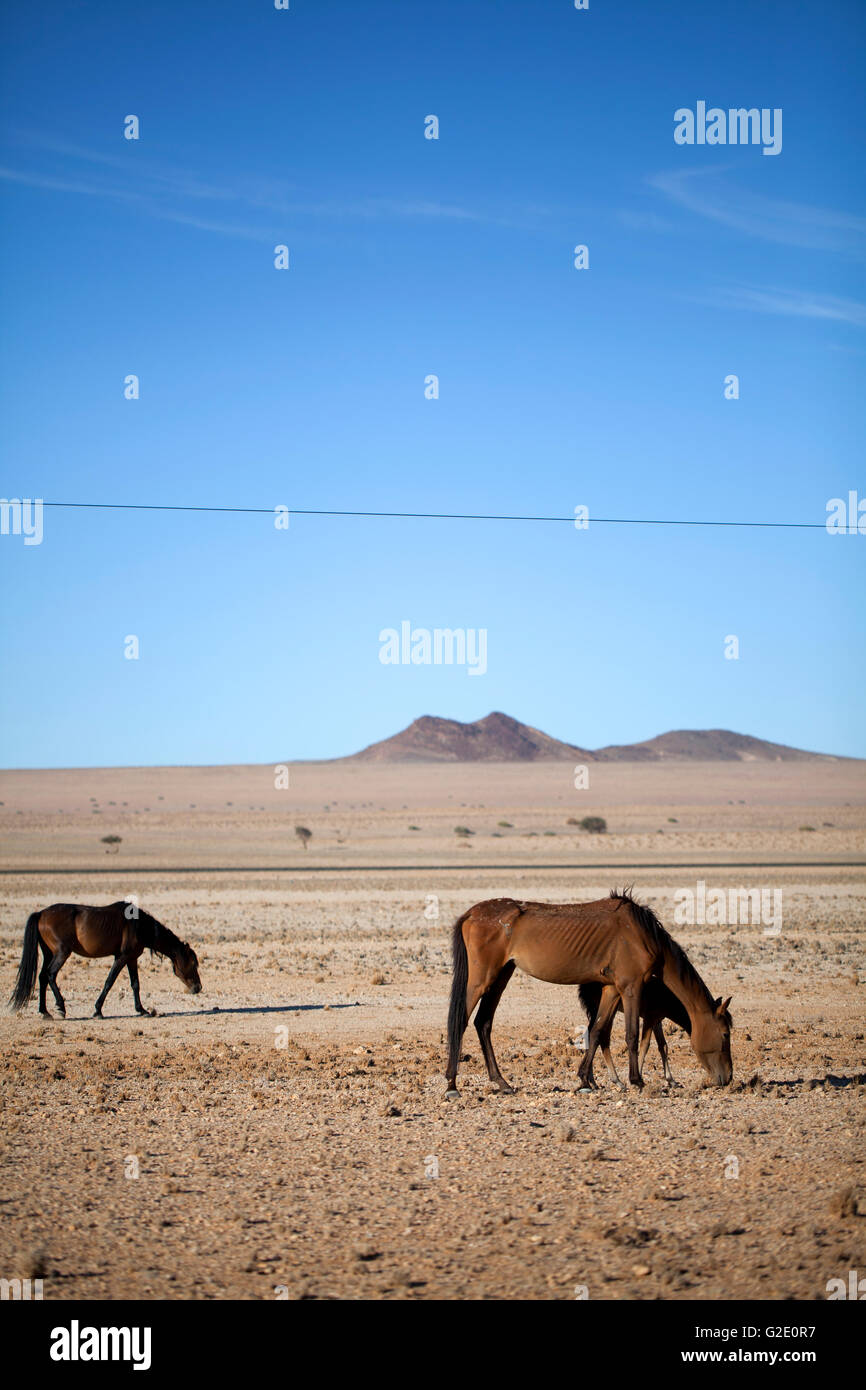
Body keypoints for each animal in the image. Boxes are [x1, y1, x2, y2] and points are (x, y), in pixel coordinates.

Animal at [8, 902, 202, 1019]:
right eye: (193, 964)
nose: (198, 988)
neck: (139, 926)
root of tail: (41, 913)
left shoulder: (131, 958)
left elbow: (135, 984)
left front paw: (142, 1010)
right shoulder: (122, 957)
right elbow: (109, 982)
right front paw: (98, 1010)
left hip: (49, 953)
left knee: (42, 977)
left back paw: (45, 1012)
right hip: (62, 953)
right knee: (50, 975)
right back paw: (61, 1008)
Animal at [445, 888, 732, 1096]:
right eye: (725, 1034)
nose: (727, 1078)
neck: (642, 934)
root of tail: (470, 914)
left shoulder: (611, 988)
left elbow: (597, 1031)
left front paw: (585, 1080)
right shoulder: (631, 986)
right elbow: (631, 1035)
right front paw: (637, 1081)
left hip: (501, 975)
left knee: (483, 1022)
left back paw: (502, 1082)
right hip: (482, 978)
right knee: (461, 1021)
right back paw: (452, 1085)